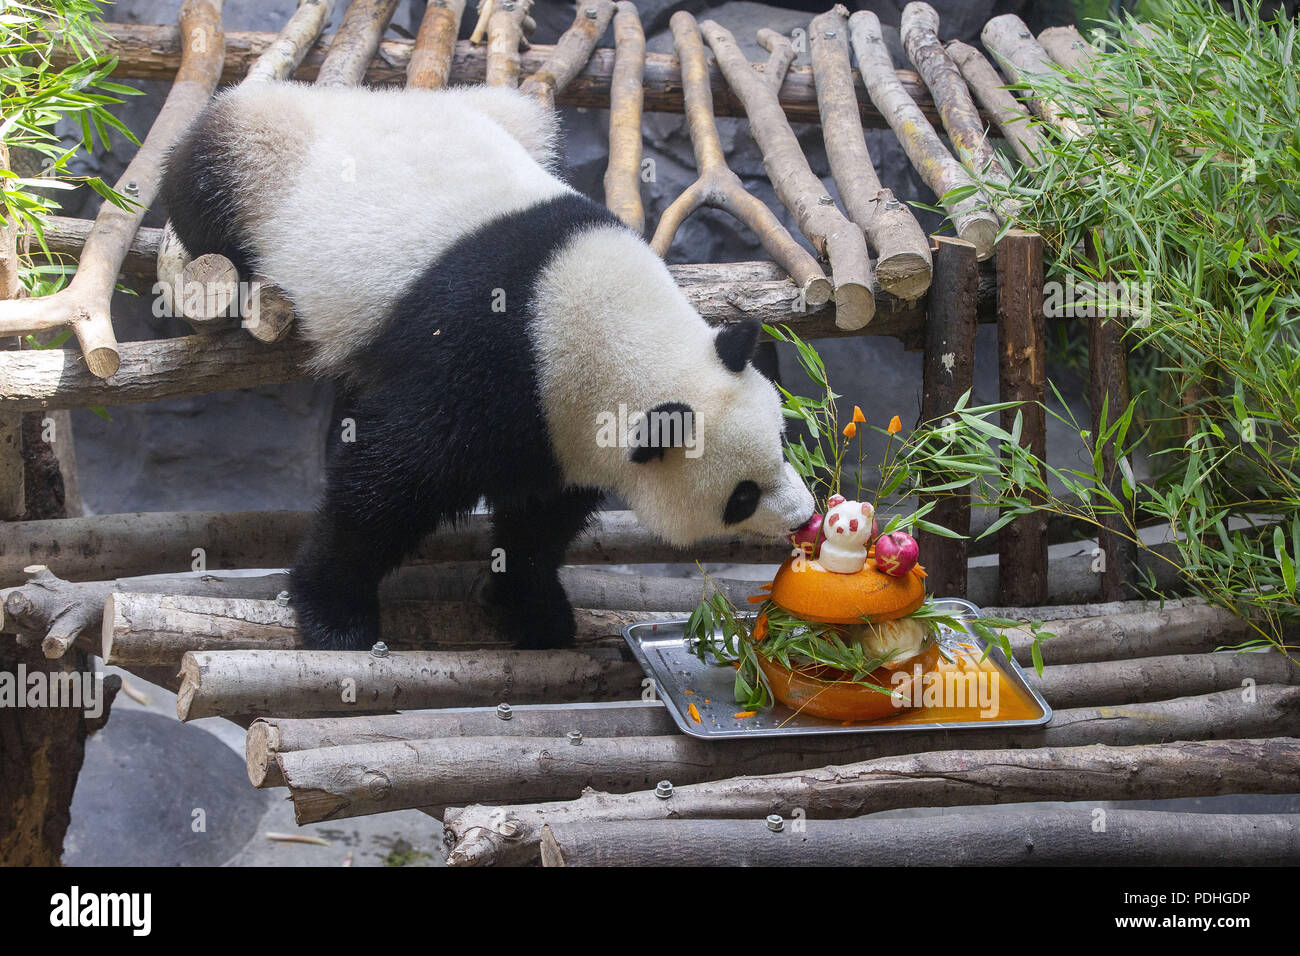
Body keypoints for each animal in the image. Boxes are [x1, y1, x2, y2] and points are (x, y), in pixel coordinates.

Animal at [161, 81, 816, 651]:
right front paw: (335, 616)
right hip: (266, 158)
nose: (803, 517)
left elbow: (540, 519)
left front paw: (533, 609)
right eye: (741, 498)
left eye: (782, 443)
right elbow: (390, 482)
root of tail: (353, 96)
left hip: (509, 118)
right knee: (206, 179)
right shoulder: (485, 362)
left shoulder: (555, 421)